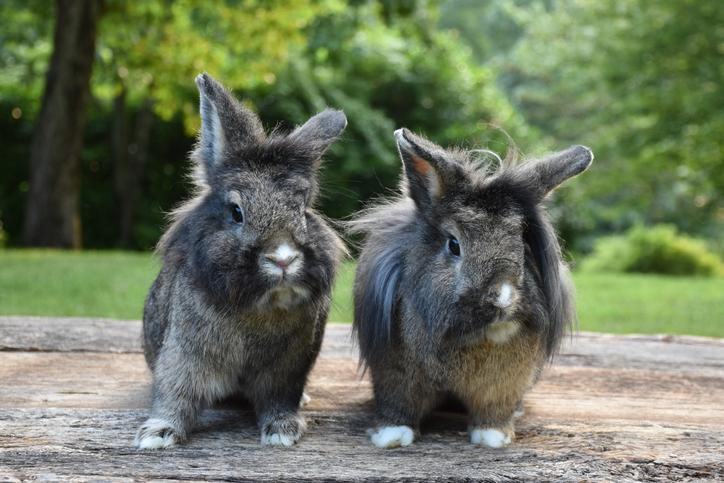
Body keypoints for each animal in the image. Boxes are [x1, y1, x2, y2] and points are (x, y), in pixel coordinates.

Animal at [135, 73, 347, 449]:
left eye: (304, 210)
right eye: (236, 212)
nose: (283, 258)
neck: (259, 308)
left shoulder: (286, 372)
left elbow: (279, 400)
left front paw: (282, 432)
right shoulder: (184, 356)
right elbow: (175, 394)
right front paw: (157, 435)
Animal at [350, 128, 592, 449]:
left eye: (522, 244)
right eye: (454, 245)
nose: (503, 298)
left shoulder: (504, 385)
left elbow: (494, 411)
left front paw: (494, 437)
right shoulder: (395, 374)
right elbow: (398, 405)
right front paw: (391, 436)